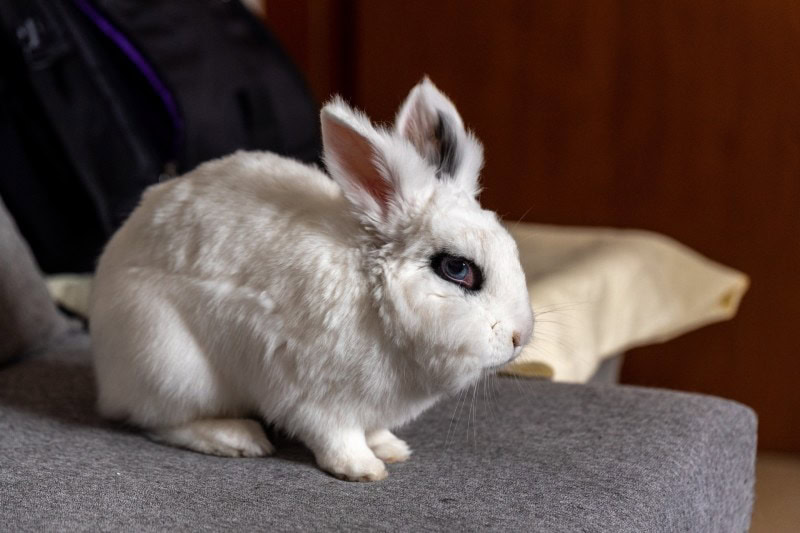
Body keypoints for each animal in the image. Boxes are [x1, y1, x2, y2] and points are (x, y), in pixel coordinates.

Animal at [89, 78, 534, 482]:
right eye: (457, 269)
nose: (519, 338)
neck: (375, 296)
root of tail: (107, 374)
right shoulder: (314, 396)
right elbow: (337, 437)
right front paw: (364, 469)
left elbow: (373, 430)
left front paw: (391, 449)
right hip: (171, 364)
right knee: (161, 421)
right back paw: (238, 438)